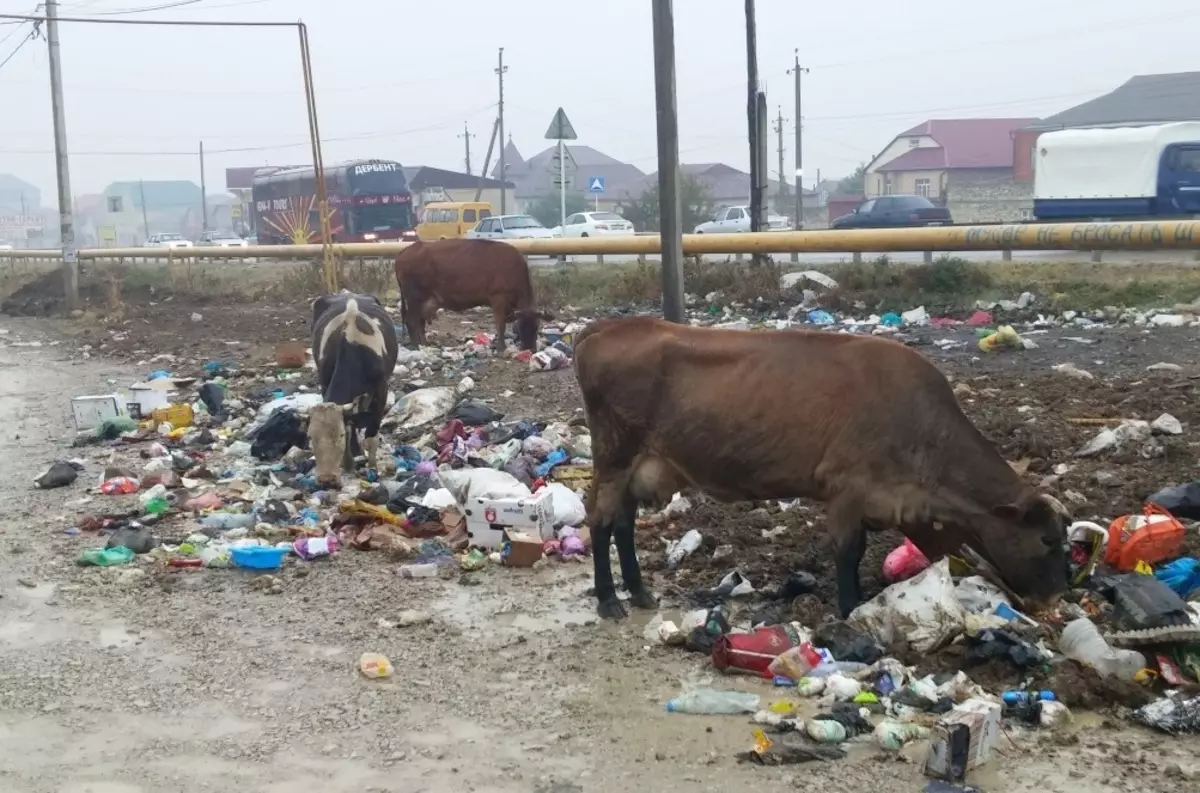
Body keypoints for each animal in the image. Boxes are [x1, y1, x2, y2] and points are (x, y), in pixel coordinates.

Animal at [309, 290, 398, 477]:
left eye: (340, 436)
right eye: (310, 437)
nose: (326, 479)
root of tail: (347, 293)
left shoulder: (382, 390)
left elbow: (371, 435)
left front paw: (372, 467)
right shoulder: (325, 382)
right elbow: (351, 423)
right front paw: (352, 460)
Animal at [391, 236, 549, 350]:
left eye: (537, 328)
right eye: (521, 327)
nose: (530, 349)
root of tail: (405, 251)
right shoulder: (498, 297)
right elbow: (500, 324)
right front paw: (501, 347)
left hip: (423, 300)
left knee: (420, 321)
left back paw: (424, 343)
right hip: (413, 298)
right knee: (411, 321)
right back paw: (416, 346)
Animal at [571, 314, 1070, 619]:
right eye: (1046, 539)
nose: (1059, 593)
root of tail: (610, 326)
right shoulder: (847, 489)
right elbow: (848, 551)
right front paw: (849, 607)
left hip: (638, 466)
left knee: (623, 524)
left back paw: (638, 591)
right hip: (614, 457)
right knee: (600, 520)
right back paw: (609, 599)